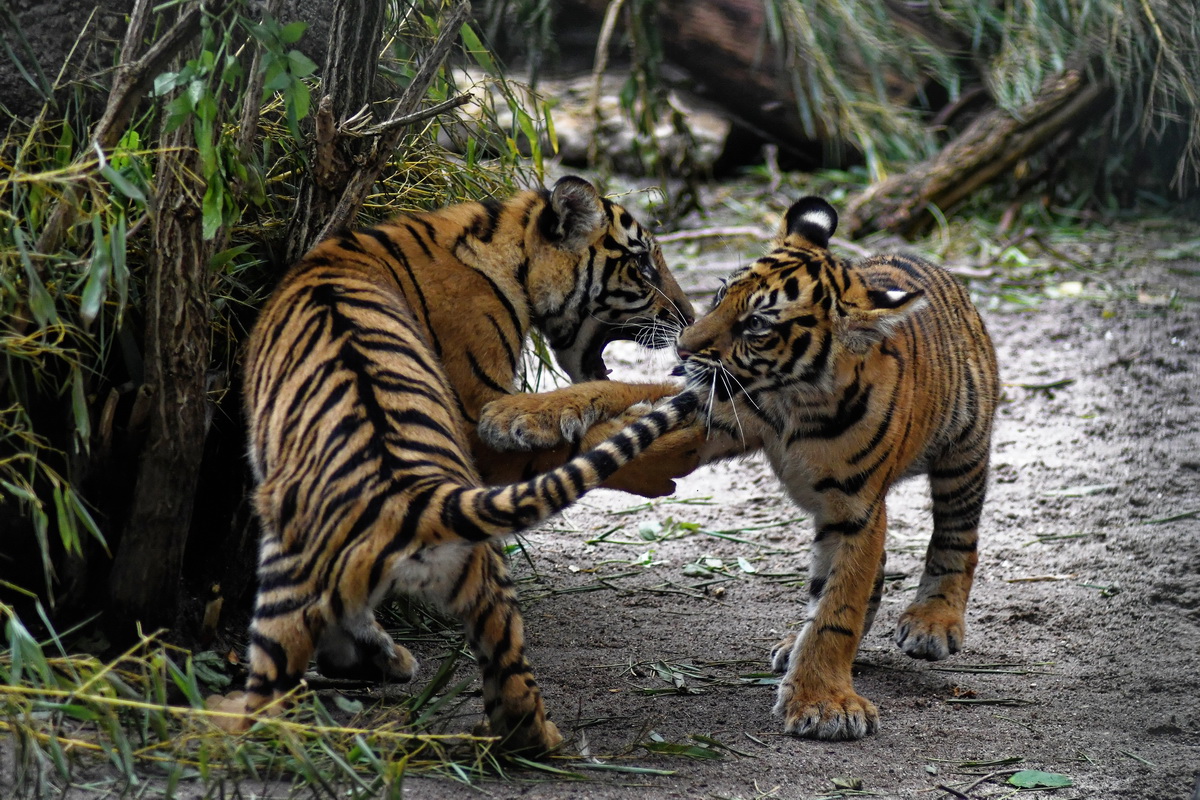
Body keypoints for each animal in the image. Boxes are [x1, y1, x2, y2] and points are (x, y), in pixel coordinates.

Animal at [228, 176, 704, 753]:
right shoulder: (475, 412)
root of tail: (405, 499)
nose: (690, 319)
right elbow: (579, 428)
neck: (508, 249)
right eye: (643, 267)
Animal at [672, 195, 1000, 740]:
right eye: (720, 292)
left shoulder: (856, 510)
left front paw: (824, 703)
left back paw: (932, 621)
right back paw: (793, 643)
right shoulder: (719, 418)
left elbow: (837, 608)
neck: (795, 403)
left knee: (957, 535)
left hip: (964, 450)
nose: (680, 347)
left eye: (757, 325)